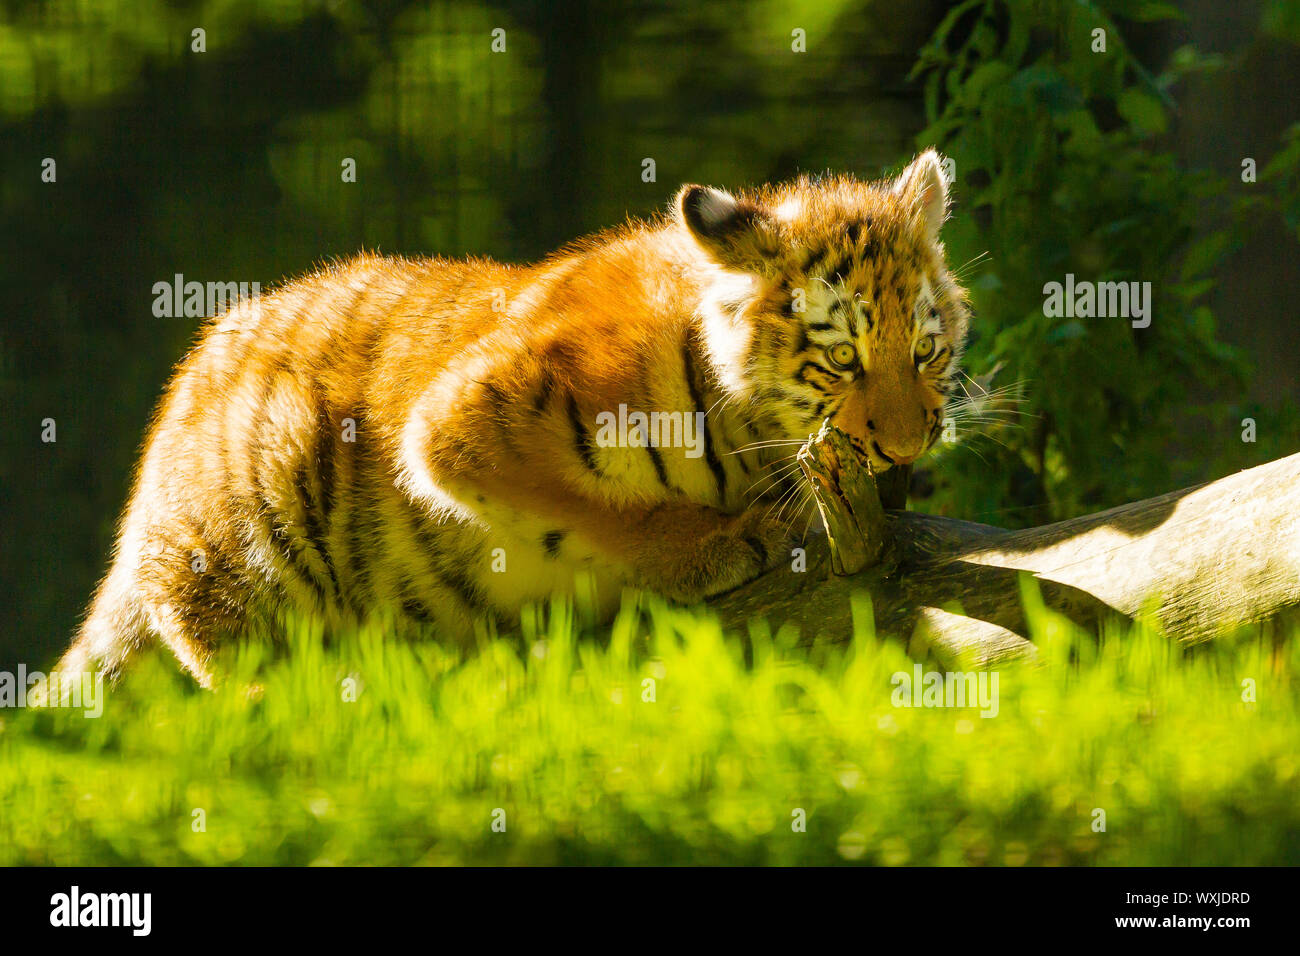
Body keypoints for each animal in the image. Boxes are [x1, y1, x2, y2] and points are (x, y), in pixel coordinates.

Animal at [56, 150, 969, 688]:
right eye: (843, 358)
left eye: (926, 351)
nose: (905, 447)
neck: (749, 432)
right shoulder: (458, 419)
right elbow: (593, 512)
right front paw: (712, 545)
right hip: (248, 542)